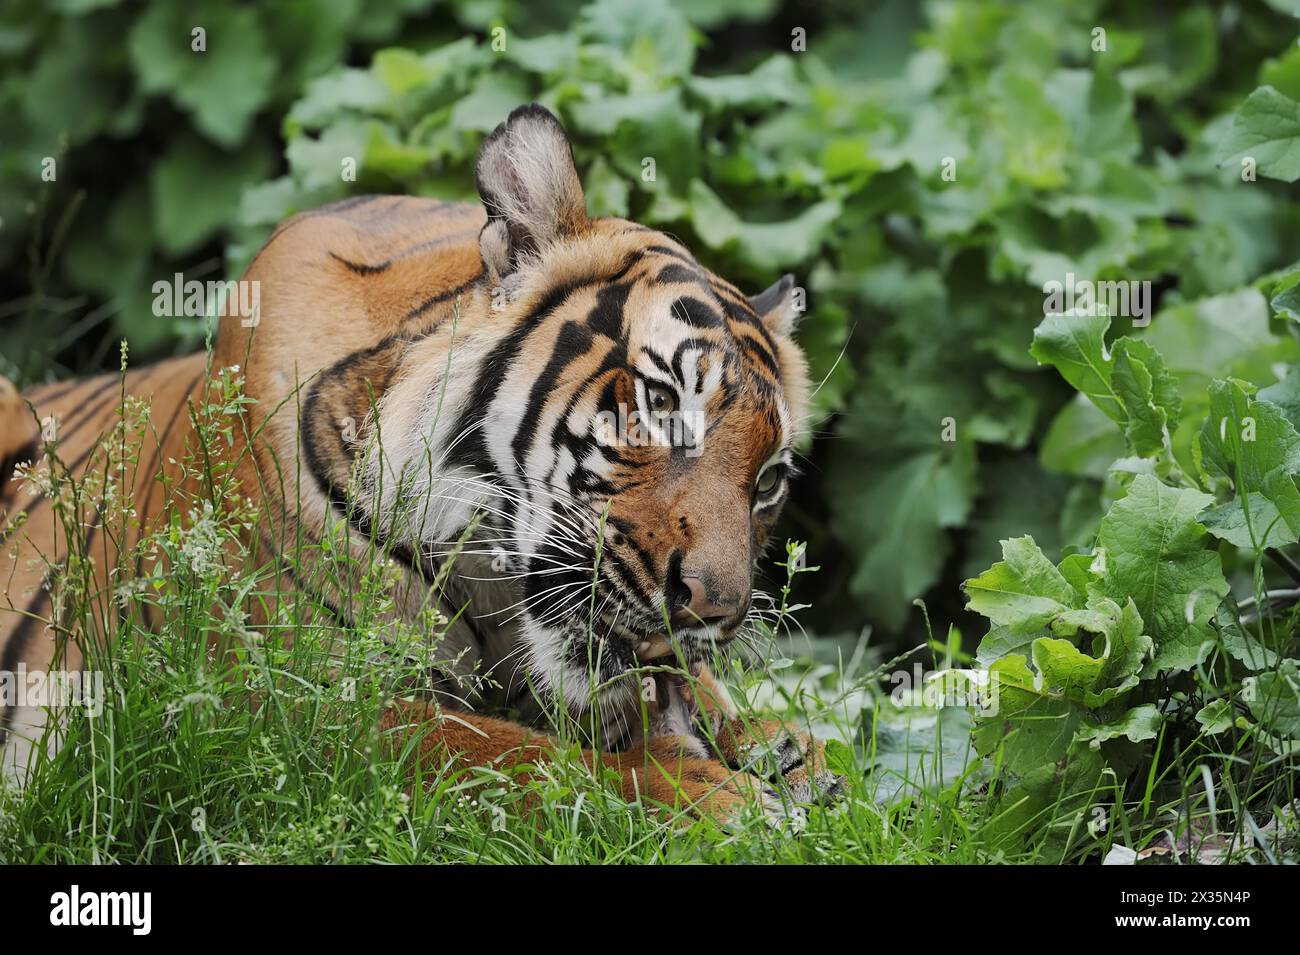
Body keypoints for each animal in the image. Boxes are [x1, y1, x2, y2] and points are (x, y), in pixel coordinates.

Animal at [0, 104, 841, 822]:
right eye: (661, 402)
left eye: (768, 481)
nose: (713, 612)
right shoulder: (270, 701)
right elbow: (502, 754)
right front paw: (706, 794)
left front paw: (785, 751)